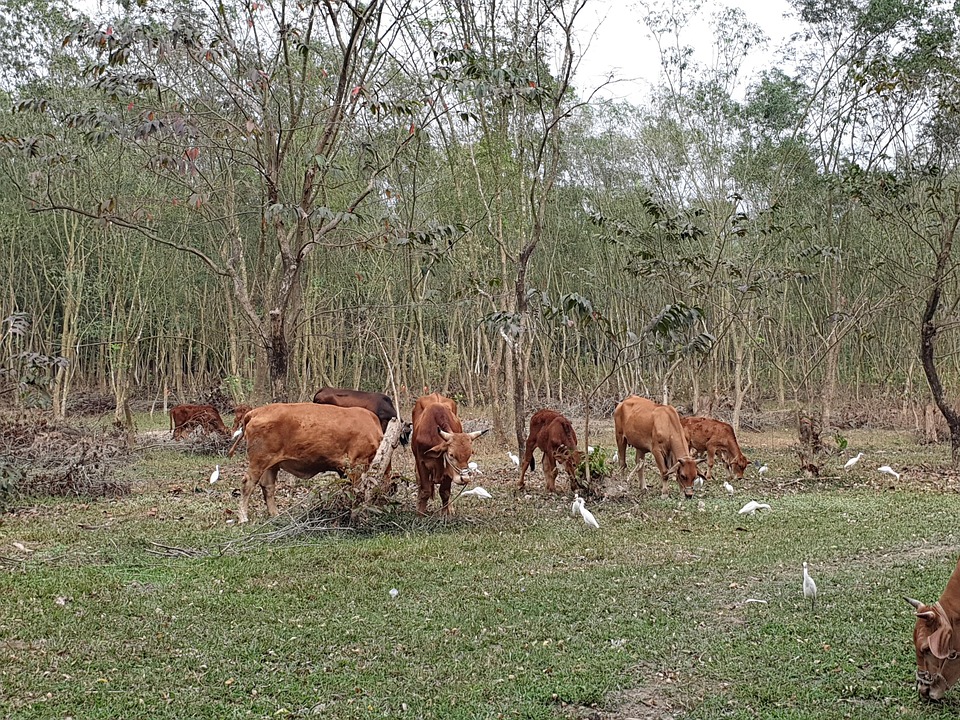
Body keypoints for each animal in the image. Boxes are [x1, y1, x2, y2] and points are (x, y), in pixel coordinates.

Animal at [233, 402, 384, 523]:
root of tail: (255, 412)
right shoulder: (357, 464)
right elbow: (356, 492)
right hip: (259, 460)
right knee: (247, 484)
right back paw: (243, 518)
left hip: (271, 464)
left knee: (268, 486)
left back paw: (275, 515)